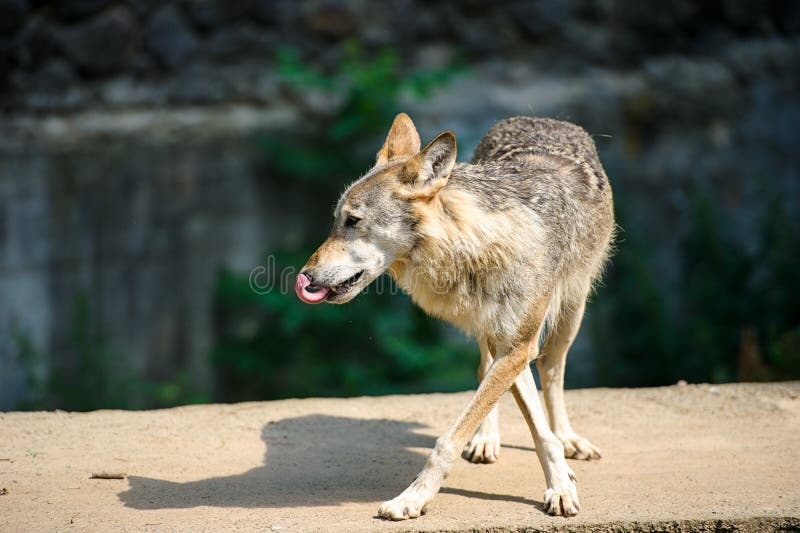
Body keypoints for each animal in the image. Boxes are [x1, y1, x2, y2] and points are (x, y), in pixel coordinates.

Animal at [295, 113, 615, 519]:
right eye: (337, 221)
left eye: (352, 221)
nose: (305, 276)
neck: (473, 246)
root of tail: (540, 118)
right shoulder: (509, 348)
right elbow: (515, 420)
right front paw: (559, 482)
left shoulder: (519, 347)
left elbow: (454, 439)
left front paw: (412, 498)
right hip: (491, 335)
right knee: (484, 371)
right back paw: (487, 440)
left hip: (571, 315)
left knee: (551, 372)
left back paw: (568, 437)